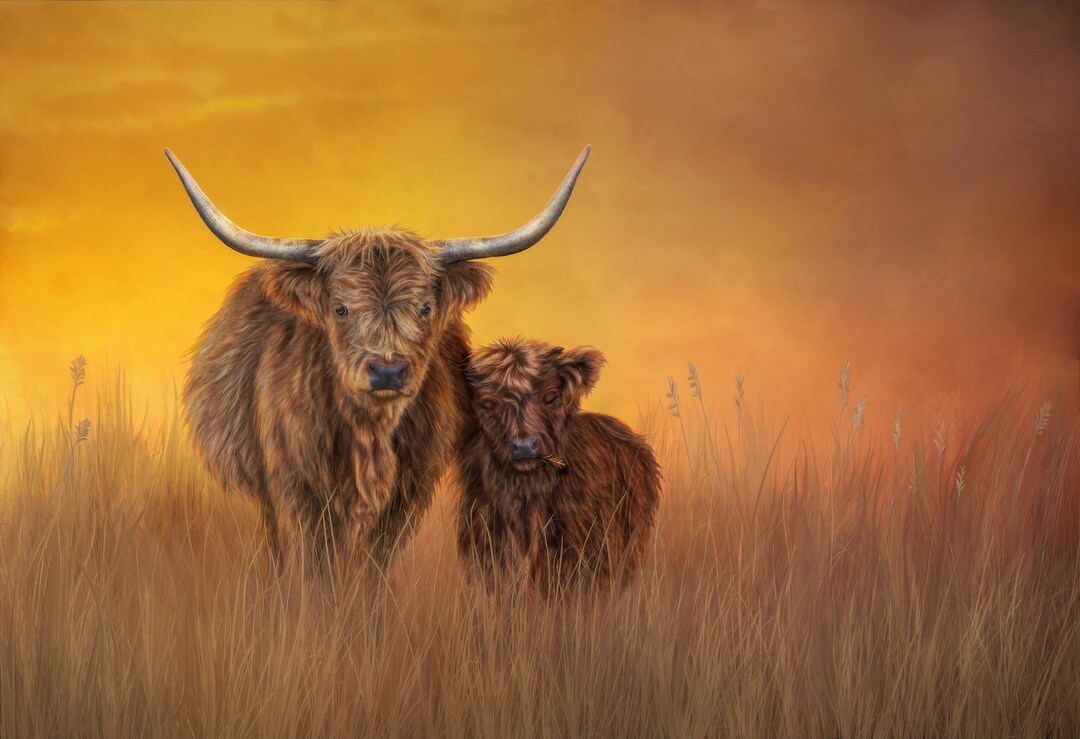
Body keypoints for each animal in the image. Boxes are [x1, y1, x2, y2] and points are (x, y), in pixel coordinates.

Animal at [166, 147, 590, 570]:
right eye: (340, 309)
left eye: (424, 308)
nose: (388, 370)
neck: (369, 434)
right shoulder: (294, 485)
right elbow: (313, 558)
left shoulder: (408, 490)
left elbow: (373, 559)